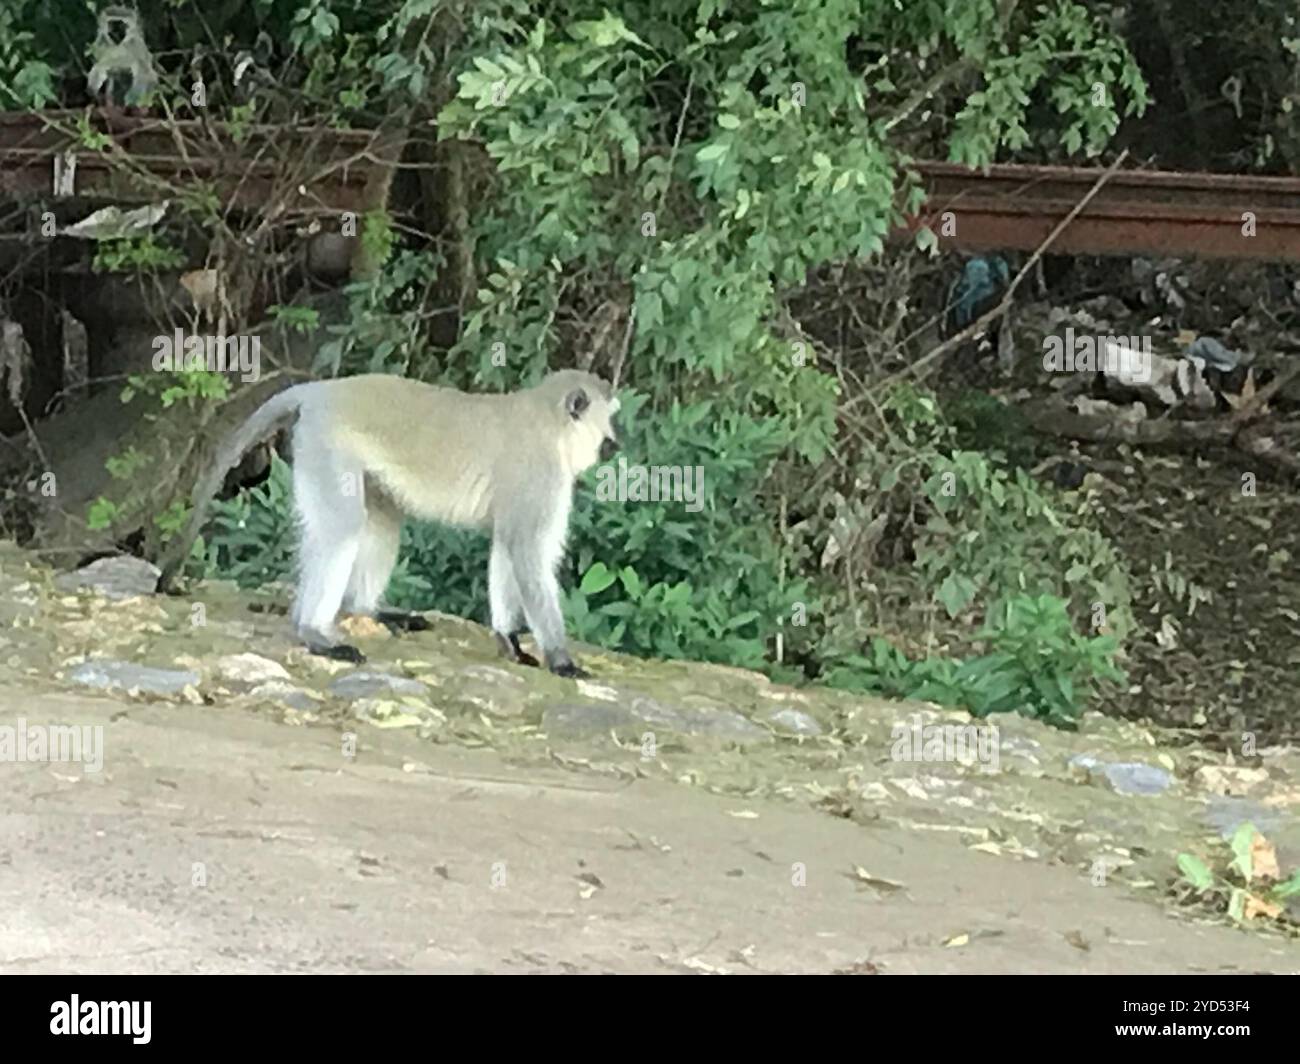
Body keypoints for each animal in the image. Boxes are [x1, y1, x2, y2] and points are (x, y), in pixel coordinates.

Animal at [156, 370, 621, 677]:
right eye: (609, 421)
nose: (613, 445)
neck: (548, 425)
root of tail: (322, 389)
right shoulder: (540, 475)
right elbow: (527, 552)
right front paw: (560, 658)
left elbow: (507, 548)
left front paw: (509, 640)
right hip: (327, 444)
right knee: (342, 525)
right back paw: (313, 632)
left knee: (382, 520)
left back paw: (369, 612)